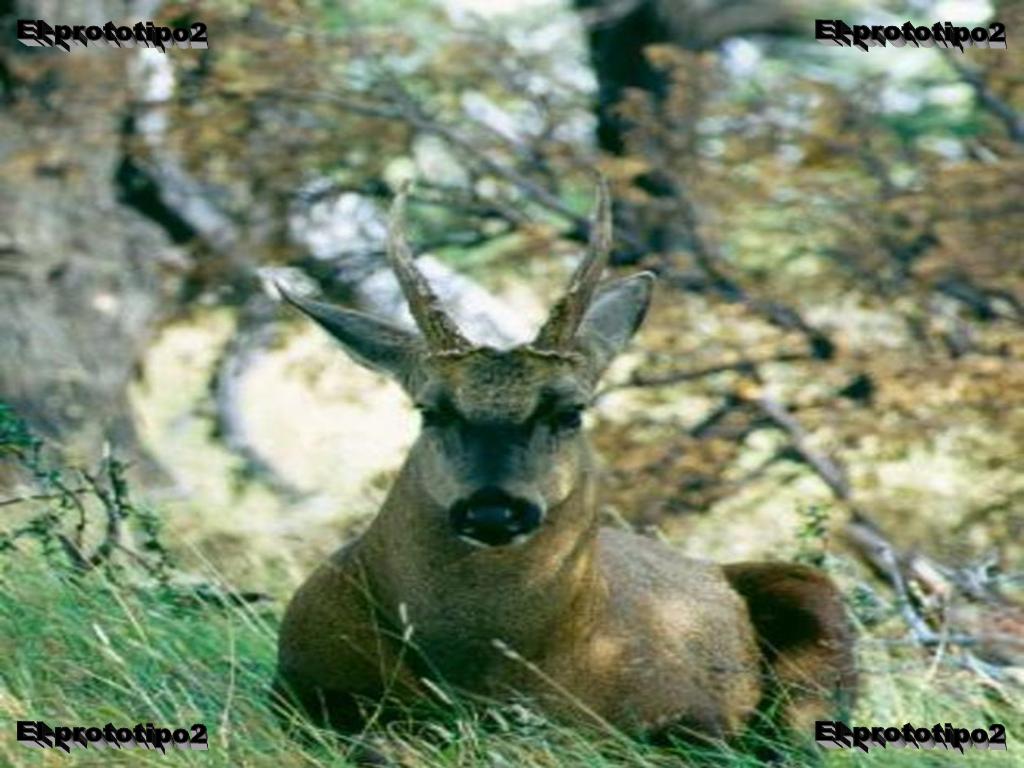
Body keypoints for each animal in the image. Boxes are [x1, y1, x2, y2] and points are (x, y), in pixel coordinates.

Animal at [274, 179, 857, 747]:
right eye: (430, 411)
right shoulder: (303, 689)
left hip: (818, 615)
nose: (493, 510)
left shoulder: (690, 710)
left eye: (571, 411)